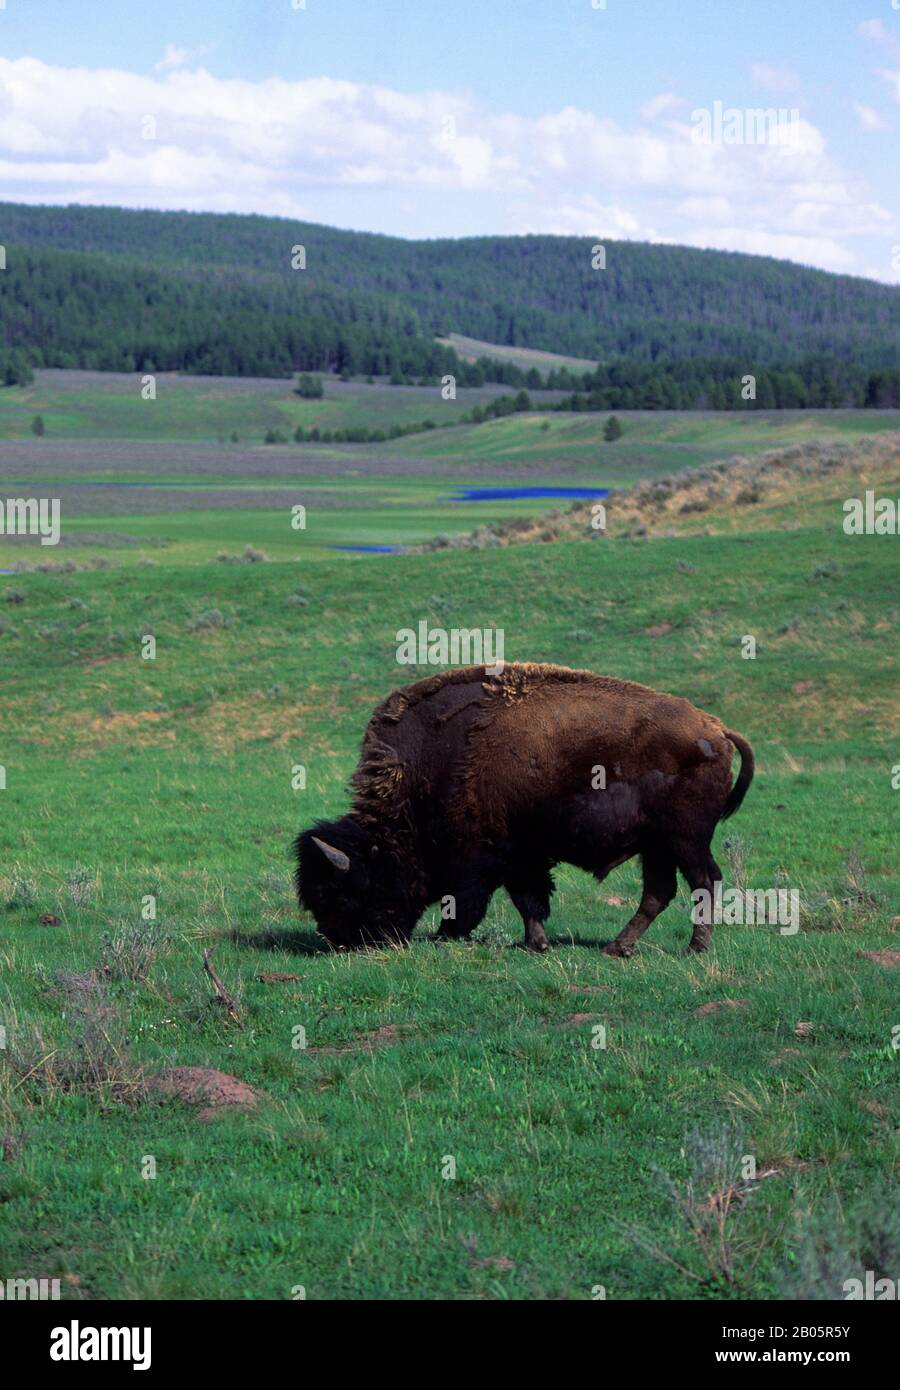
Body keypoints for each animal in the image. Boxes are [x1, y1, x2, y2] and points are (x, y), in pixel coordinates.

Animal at [295, 662, 753, 956]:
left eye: (341, 892)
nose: (336, 940)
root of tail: (716, 728)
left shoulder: (492, 857)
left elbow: (492, 900)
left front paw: (449, 935)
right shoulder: (522, 856)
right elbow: (529, 899)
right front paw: (536, 942)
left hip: (685, 840)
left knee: (703, 881)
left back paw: (694, 949)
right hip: (657, 845)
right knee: (659, 892)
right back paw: (617, 948)